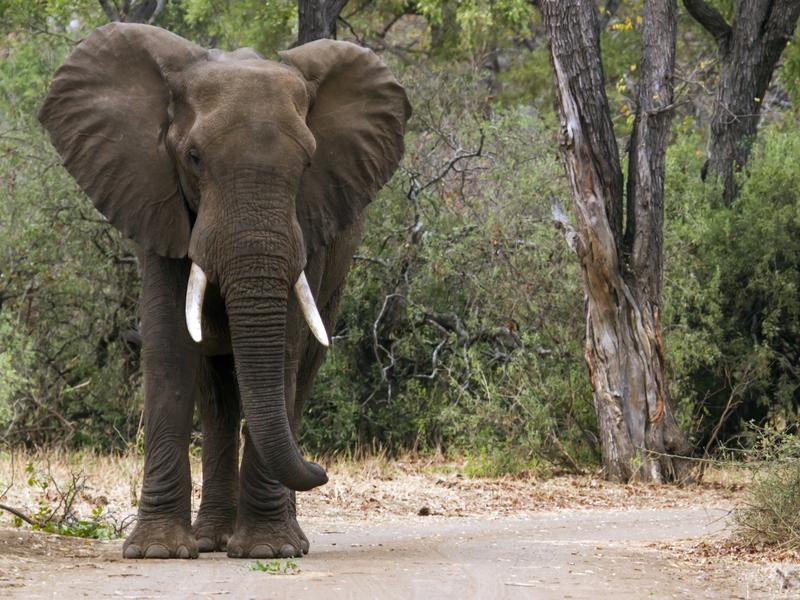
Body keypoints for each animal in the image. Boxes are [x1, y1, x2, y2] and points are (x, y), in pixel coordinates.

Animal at [38, 23, 410, 559]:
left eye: (309, 163)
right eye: (193, 158)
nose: (321, 470)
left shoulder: (312, 220)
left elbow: (285, 348)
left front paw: (269, 550)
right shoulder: (157, 198)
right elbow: (171, 345)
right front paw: (157, 552)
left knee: (300, 371)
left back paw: (285, 537)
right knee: (216, 394)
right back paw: (212, 538)